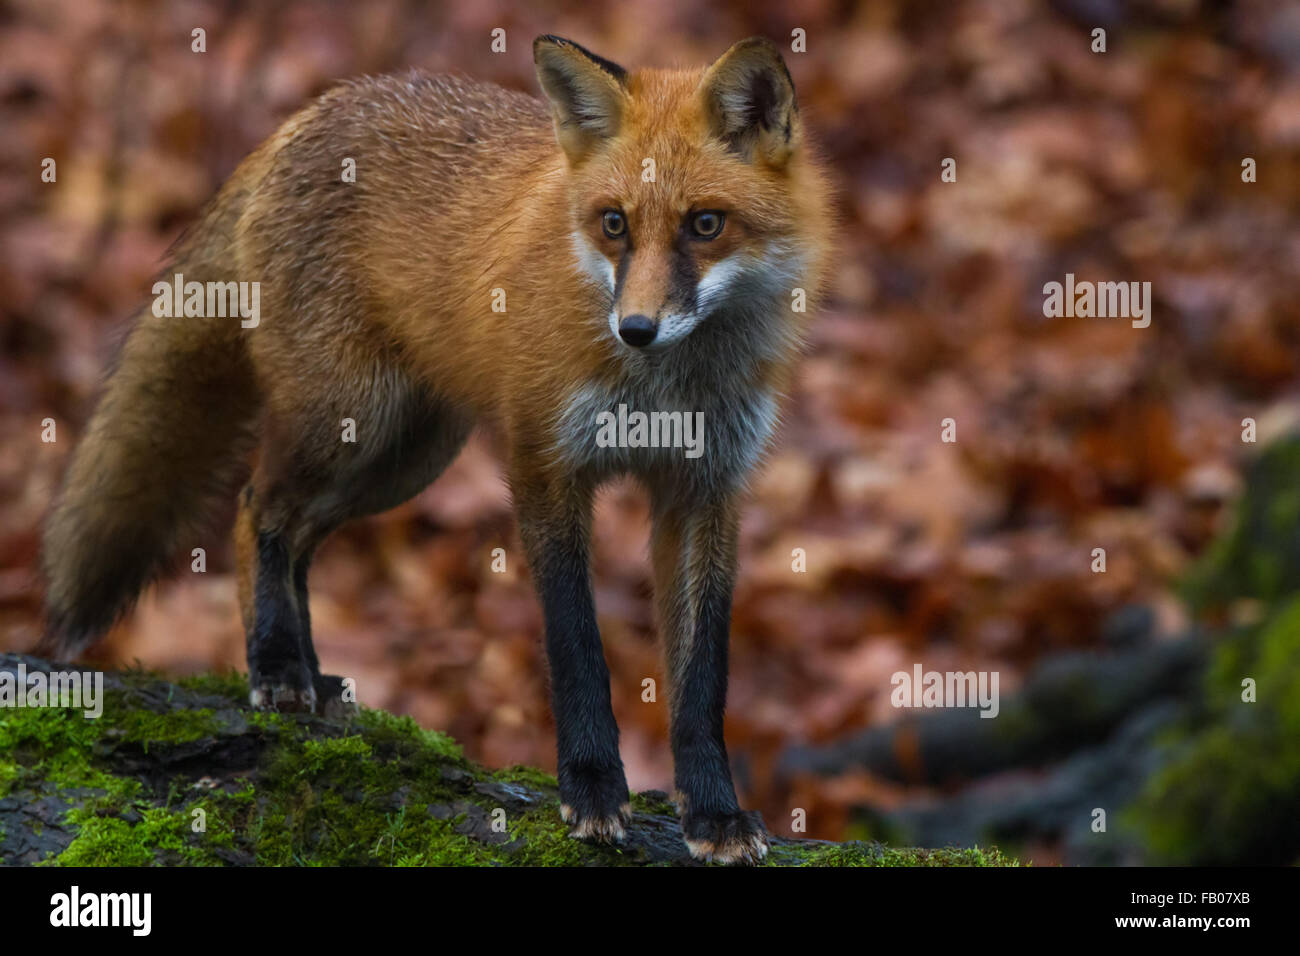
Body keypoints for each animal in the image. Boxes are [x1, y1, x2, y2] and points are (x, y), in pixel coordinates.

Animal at [39, 35, 832, 864]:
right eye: (614, 224)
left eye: (706, 224)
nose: (635, 329)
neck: (671, 388)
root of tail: (318, 108)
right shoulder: (543, 462)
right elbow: (575, 645)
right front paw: (590, 789)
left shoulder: (705, 491)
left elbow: (701, 679)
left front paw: (712, 812)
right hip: (349, 422)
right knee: (255, 508)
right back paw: (277, 665)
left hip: (403, 458)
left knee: (297, 536)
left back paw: (313, 673)